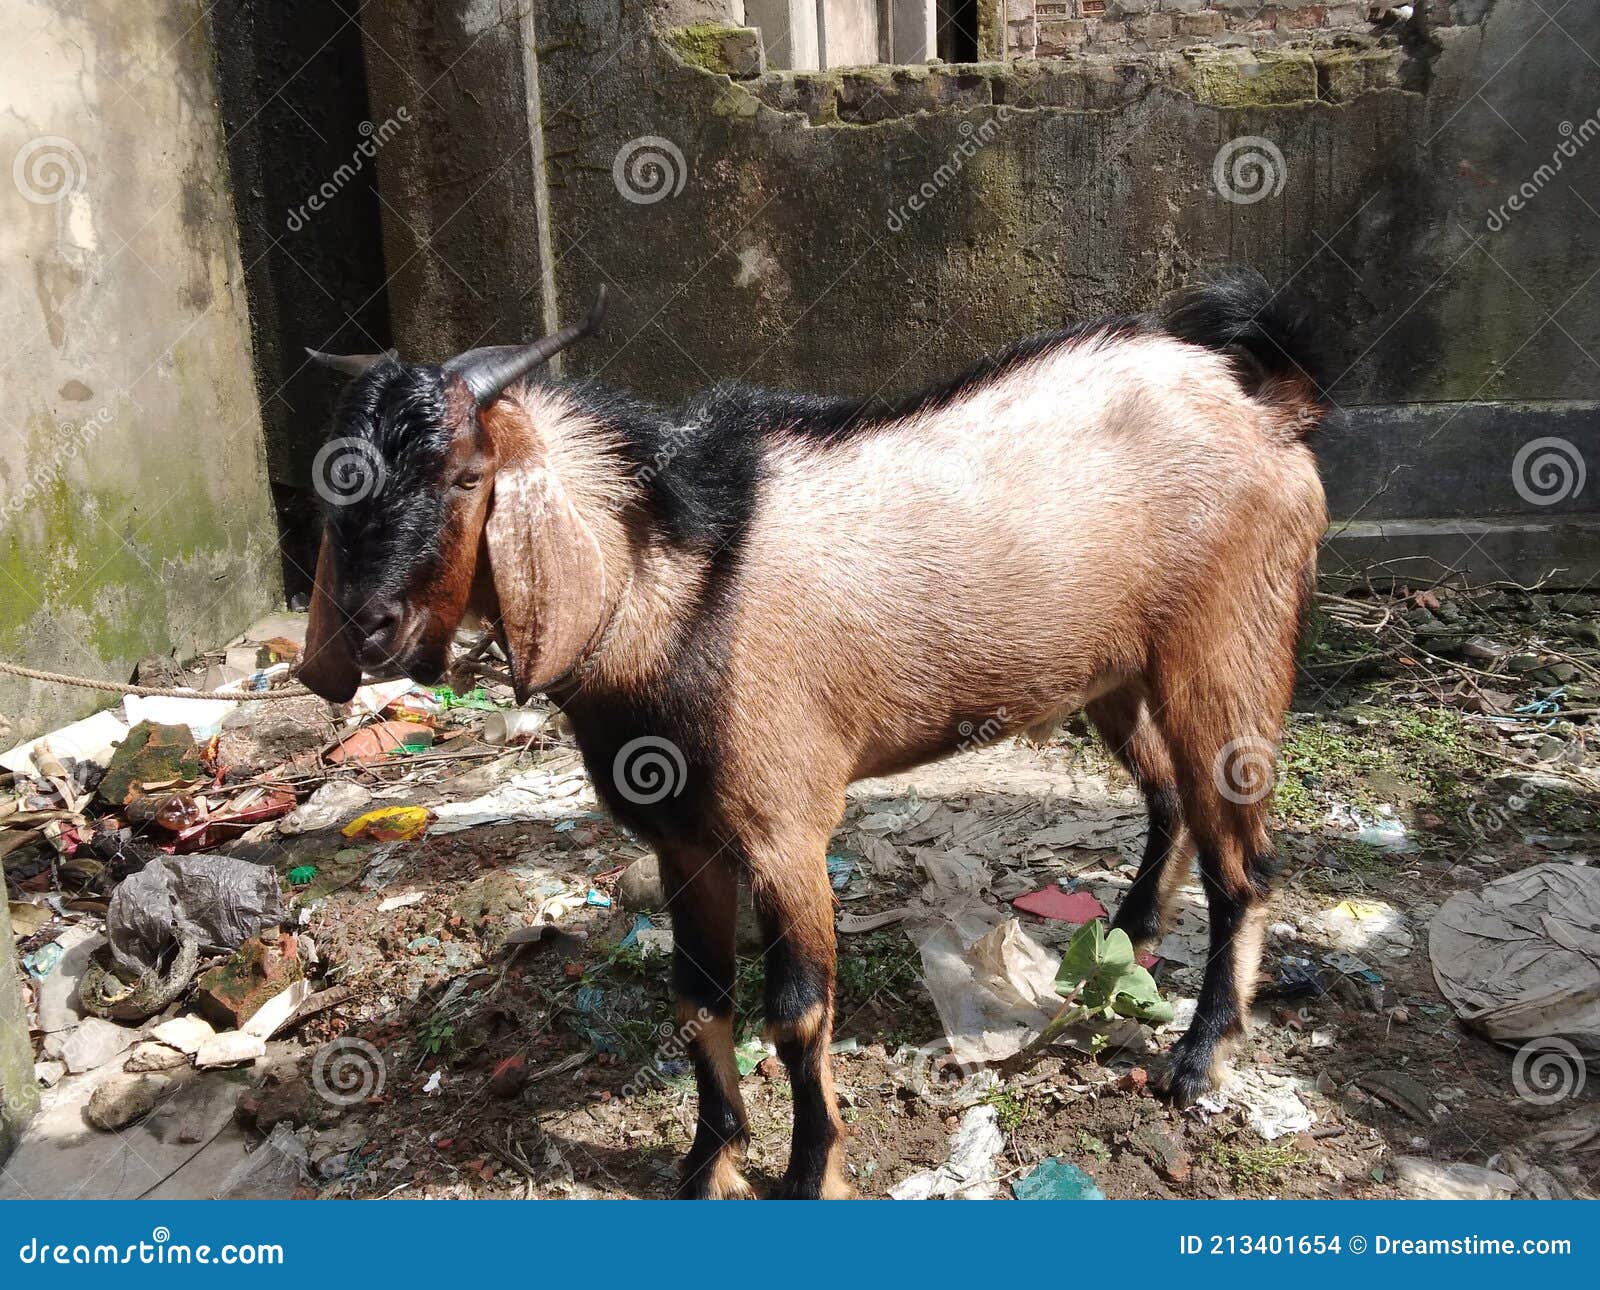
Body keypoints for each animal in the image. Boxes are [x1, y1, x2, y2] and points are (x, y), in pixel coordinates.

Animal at [298, 270, 1328, 1199]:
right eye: (339, 485)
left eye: (467, 475)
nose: (371, 627)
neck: (670, 585)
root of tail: (1260, 405)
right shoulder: (683, 840)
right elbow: (697, 999)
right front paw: (708, 1164)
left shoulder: (783, 828)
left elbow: (794, 1015)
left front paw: (807, 1173)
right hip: (1118, 668)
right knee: (1170, 799)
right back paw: (1129, 935)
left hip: (1228, 641)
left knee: (1245, 863)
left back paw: (1199, 1057)